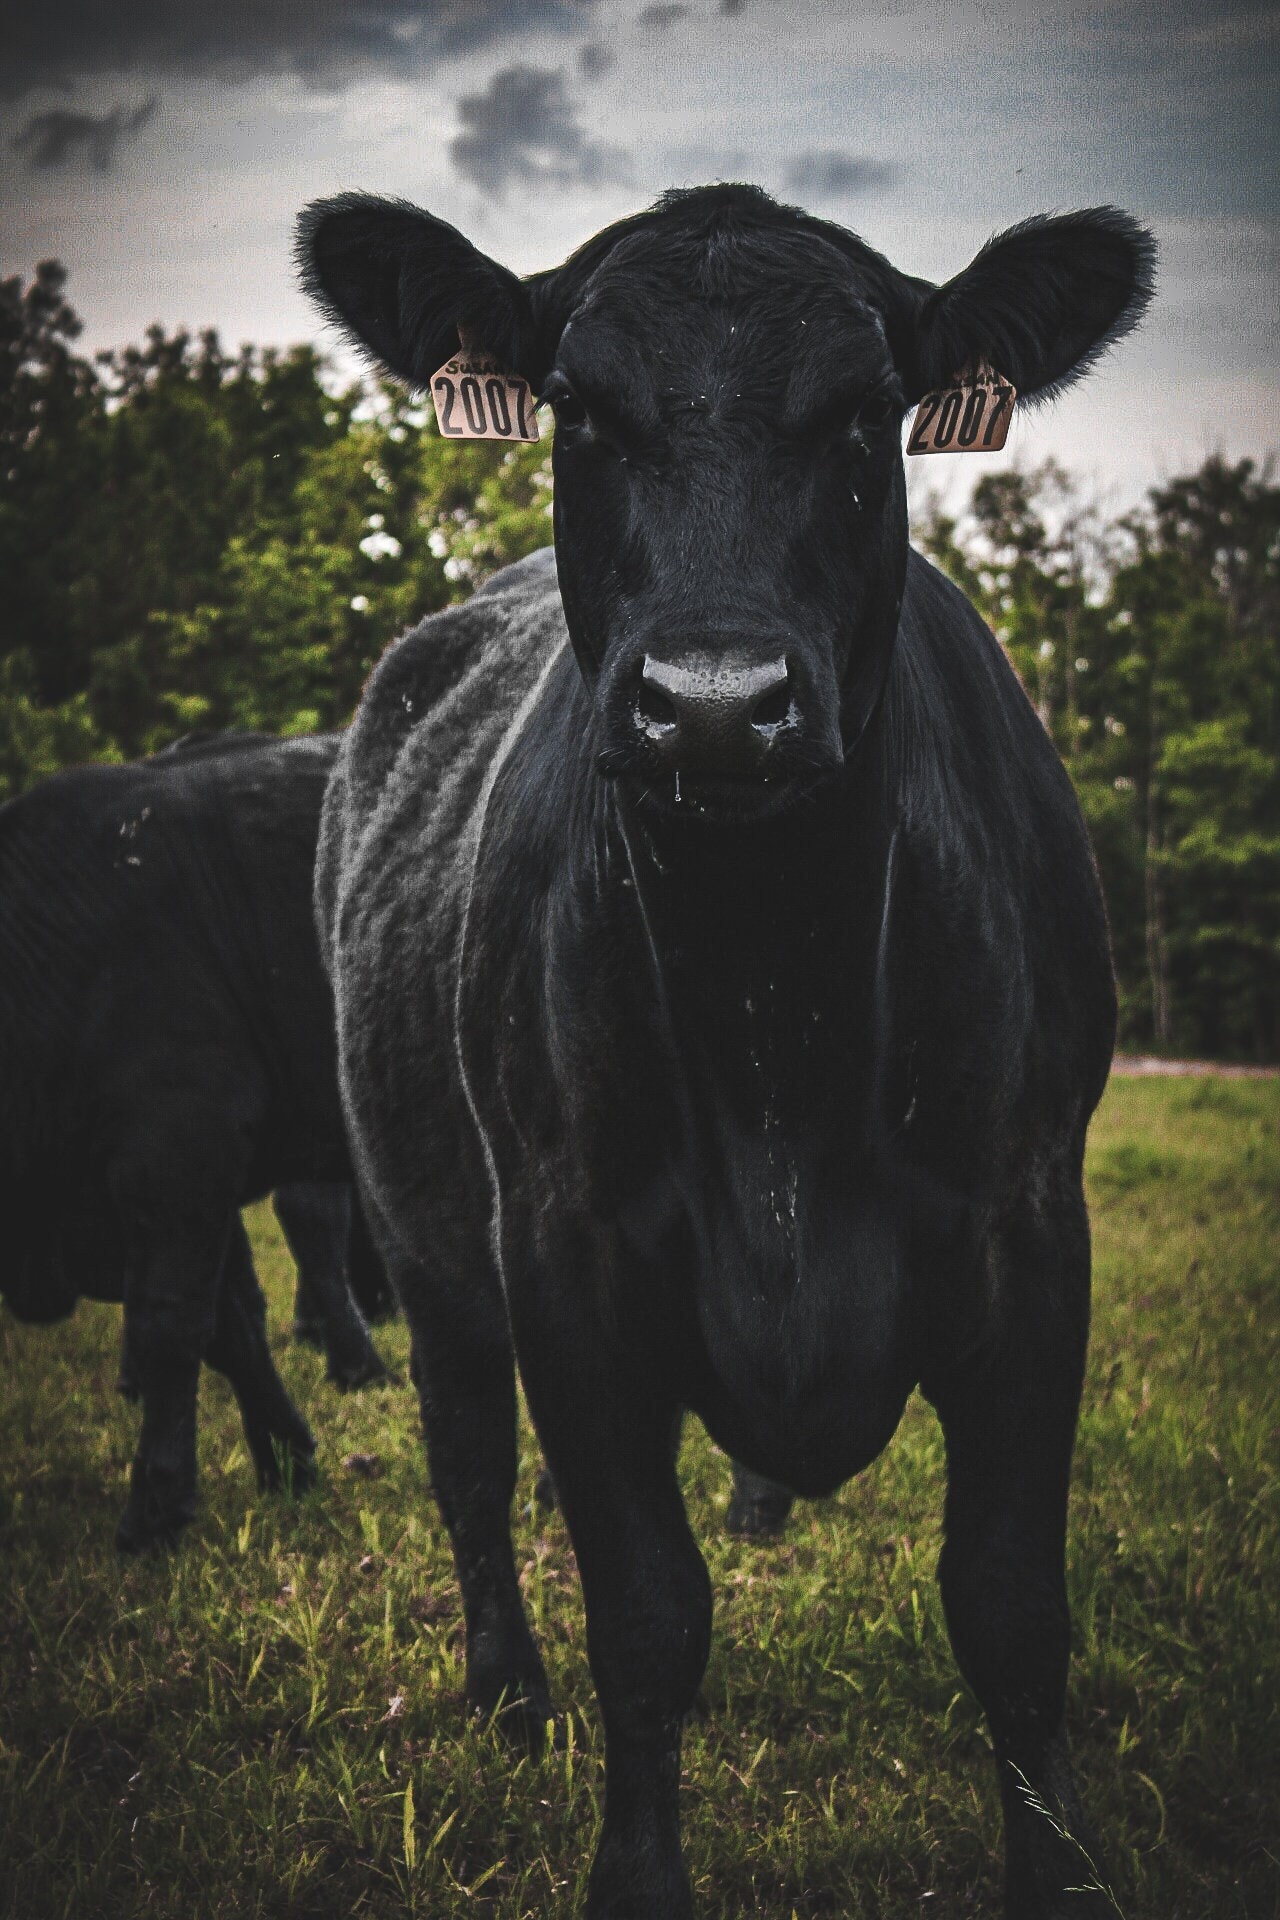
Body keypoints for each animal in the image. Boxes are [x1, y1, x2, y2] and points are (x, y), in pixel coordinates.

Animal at [298, 183, 1153, 1916]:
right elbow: (642, 1612)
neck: (777, 1006)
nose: (710, 703)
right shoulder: (562, 1252)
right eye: (578, 408)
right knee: (467, 1458)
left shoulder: (1032, 1228)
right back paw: (504, 1694)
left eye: (865, 412)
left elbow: (1011, 1609)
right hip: (420, 1231)